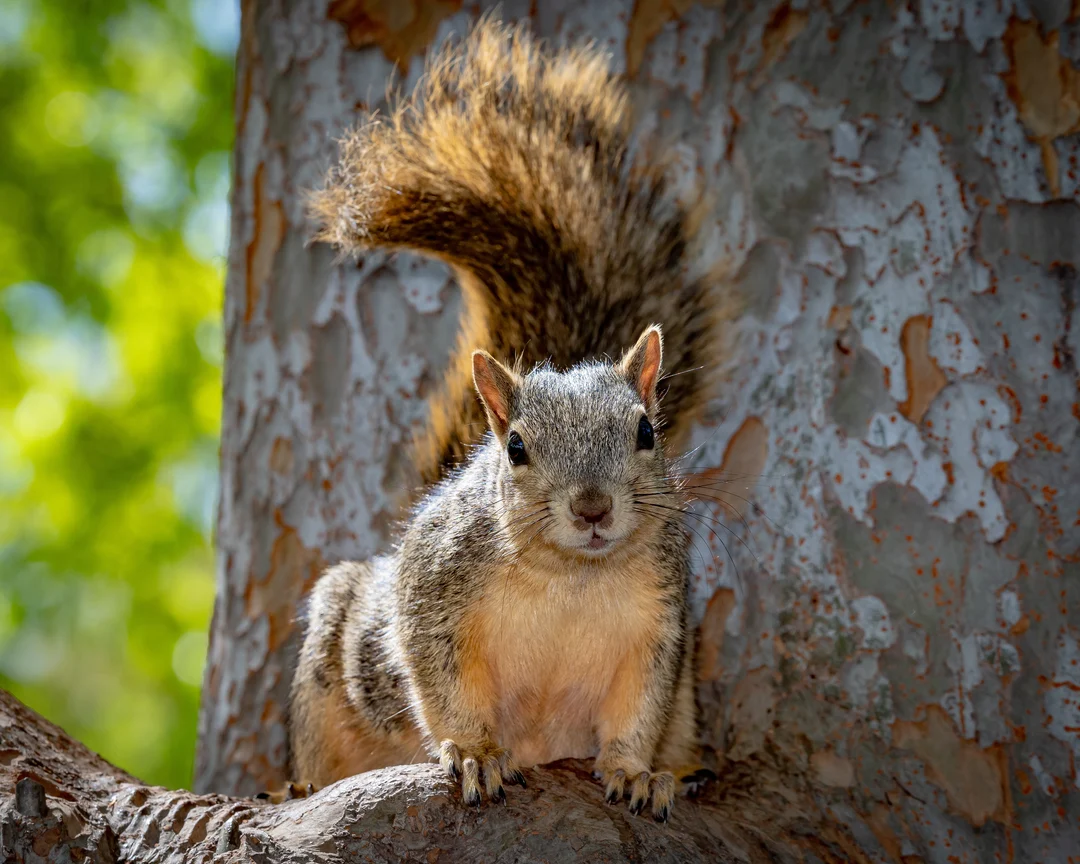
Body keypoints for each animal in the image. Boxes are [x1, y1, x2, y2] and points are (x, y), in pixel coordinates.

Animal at [283, 17, 727, 822]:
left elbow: (638, 711)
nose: (592, 508)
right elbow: (444, 684)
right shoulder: (432, 593)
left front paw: (636, 772)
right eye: (516, 448)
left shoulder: (660, 628)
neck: (572, 578)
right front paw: (474, 754)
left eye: (647, 431)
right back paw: (299, 783)